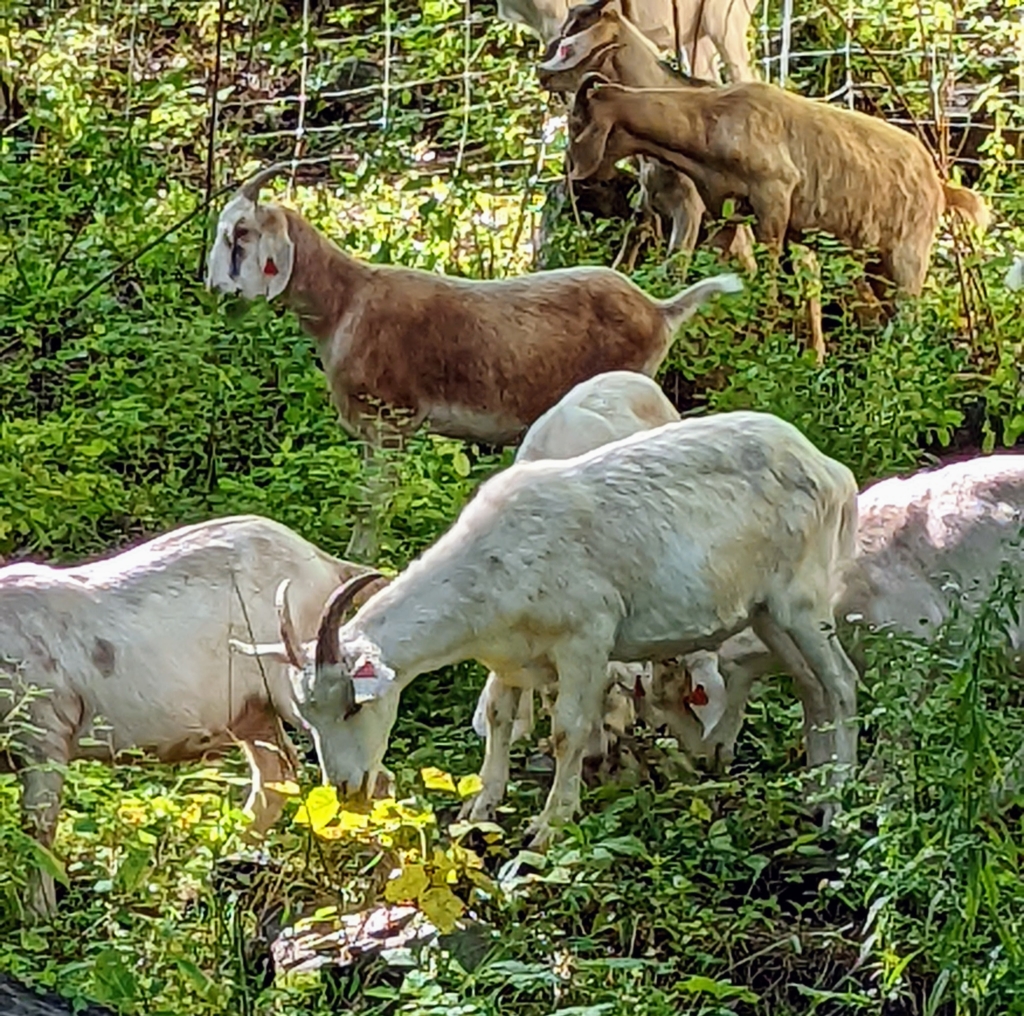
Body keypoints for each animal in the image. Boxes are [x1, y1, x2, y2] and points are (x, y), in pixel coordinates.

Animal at [0, 515, 383, 916]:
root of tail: (326, 564)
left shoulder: (44, 730)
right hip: (252, 711)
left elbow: (37, 825)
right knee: (277, 772)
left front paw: (39, 916)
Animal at [282, 410, 859, 846]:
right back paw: (814, 794)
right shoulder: (509, 656)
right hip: (767, 613)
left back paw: (839, 808)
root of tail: (832, 471)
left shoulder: (586, 637)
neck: (492, 559)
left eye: (355, 705)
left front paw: (550, 824)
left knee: (841, 684)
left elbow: (569, 730)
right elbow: (499, 716)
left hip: (802, 601)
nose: (347, 788)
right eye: (307, 719)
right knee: (810, 686)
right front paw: (480, 806)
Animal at [567, 75, 991, 301]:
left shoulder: (774, 198)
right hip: (877, 260)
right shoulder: (724, 210)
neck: (713, 120)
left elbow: (769, 270)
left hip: (908, 255)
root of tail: (941, 186)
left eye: (575, 123)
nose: (573, 172)